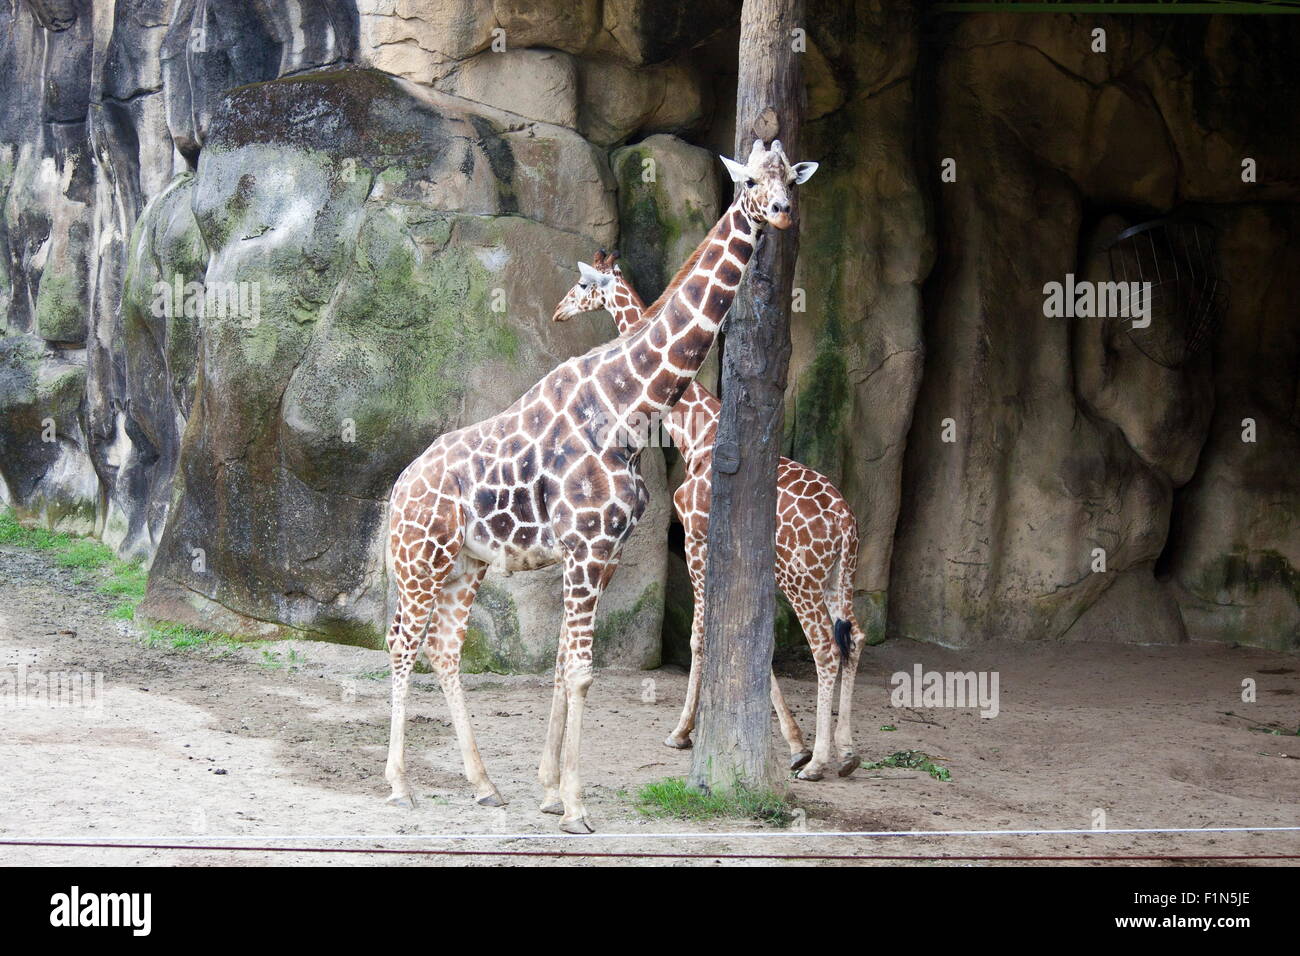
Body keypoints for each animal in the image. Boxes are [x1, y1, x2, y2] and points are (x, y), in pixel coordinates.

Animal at [384, 139, 819, 832]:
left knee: (444, 651)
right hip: (420, 560)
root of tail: (398, 489)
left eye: (790, 180)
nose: (780, 212)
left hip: (464, 564)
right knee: (403, 646)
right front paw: (574, 805)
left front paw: (547, 790)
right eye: (750, 180)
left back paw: (484, 786)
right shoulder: (585, 549)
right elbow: (584, 670)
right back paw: (400, 785)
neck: (627, 404)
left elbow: (566, 663)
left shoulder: (603, 553)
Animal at [552, 250, 865, 781]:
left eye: (580, 284)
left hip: (801, 577)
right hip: (836, 574)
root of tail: (845, 523)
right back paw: (845, 753)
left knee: (826, 647)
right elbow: (743, 639)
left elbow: (703, 636)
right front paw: (792, 740)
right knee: (854, 637)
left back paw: (820, 762)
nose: (558, 311)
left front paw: (682, 732)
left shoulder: (697, 538)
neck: (696, 432)